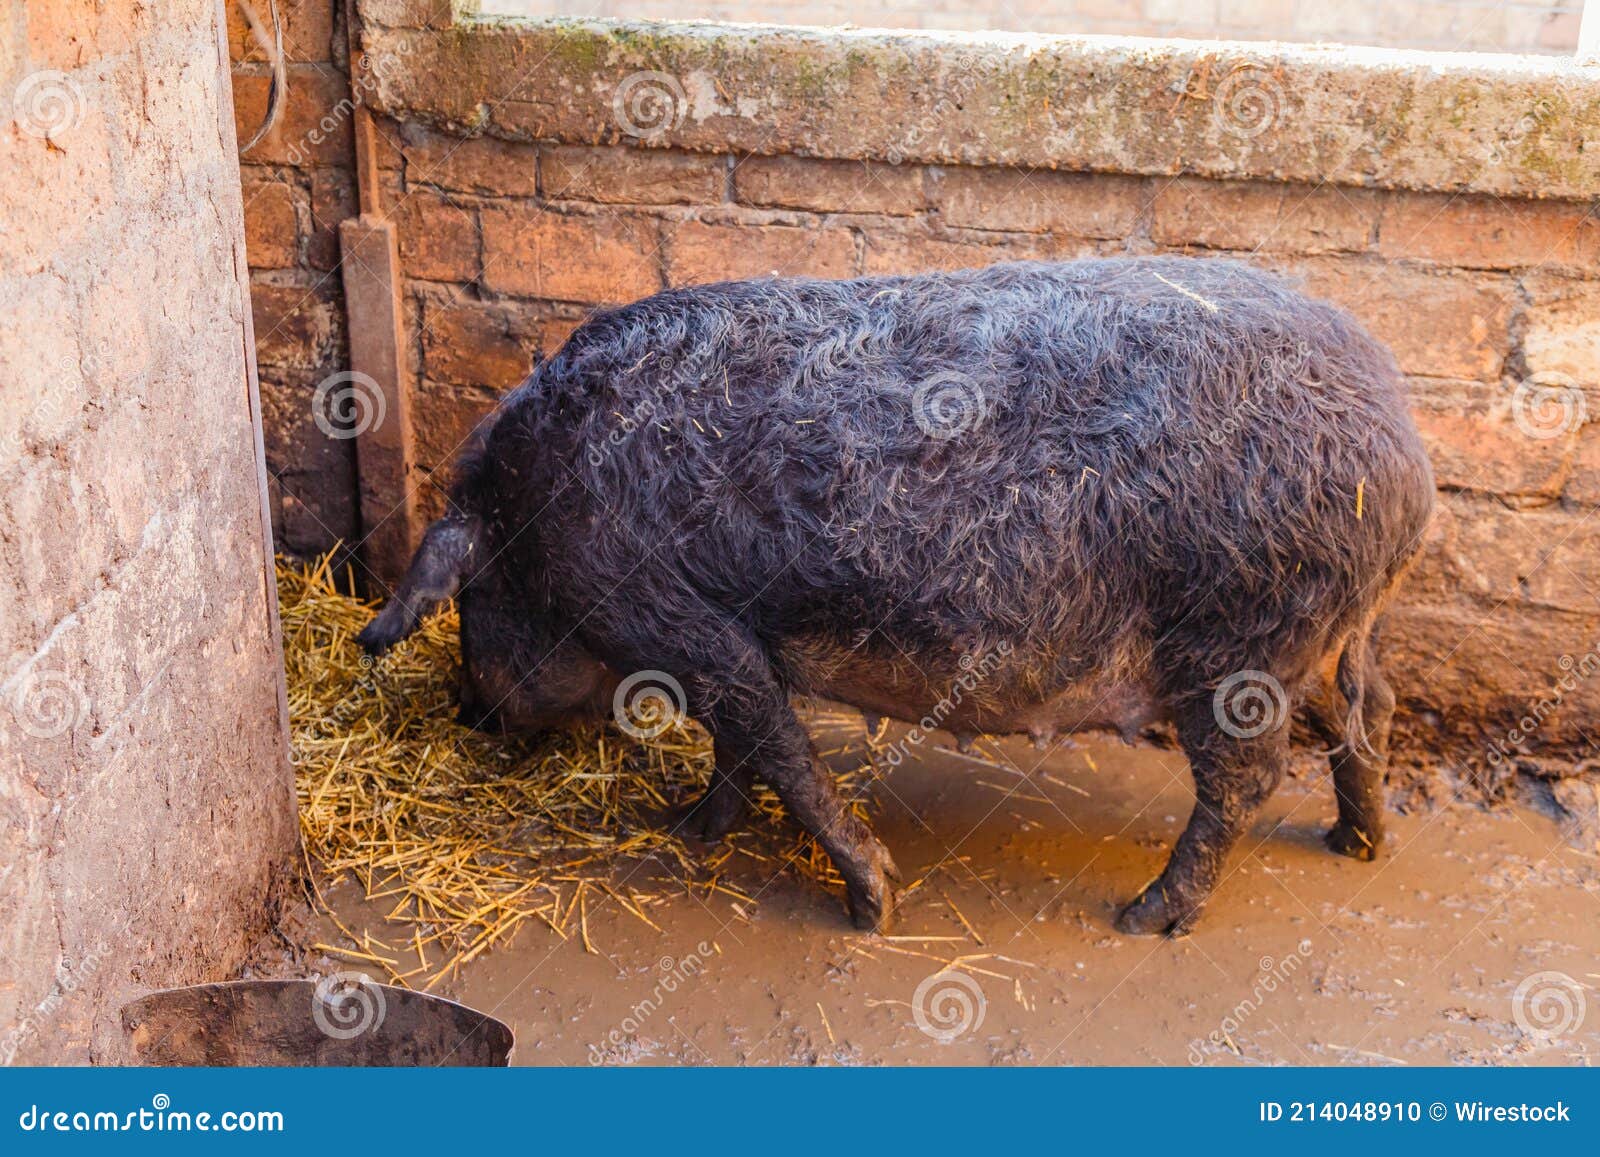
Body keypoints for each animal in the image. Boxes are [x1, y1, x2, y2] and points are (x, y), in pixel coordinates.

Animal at [358, 257, 1434, 936]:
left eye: (470, 598)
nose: (466, 706)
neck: (533, 509)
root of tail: (1404, 440)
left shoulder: (679, 619)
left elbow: (776, 746)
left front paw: (872, 904)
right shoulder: (713, 633)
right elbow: (736, 746)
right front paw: (686, 827)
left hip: (1241, 641)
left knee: (1247, 780)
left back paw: (1143, 918)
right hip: (1325, 635)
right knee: (1368, 709)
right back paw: (1358, 842)